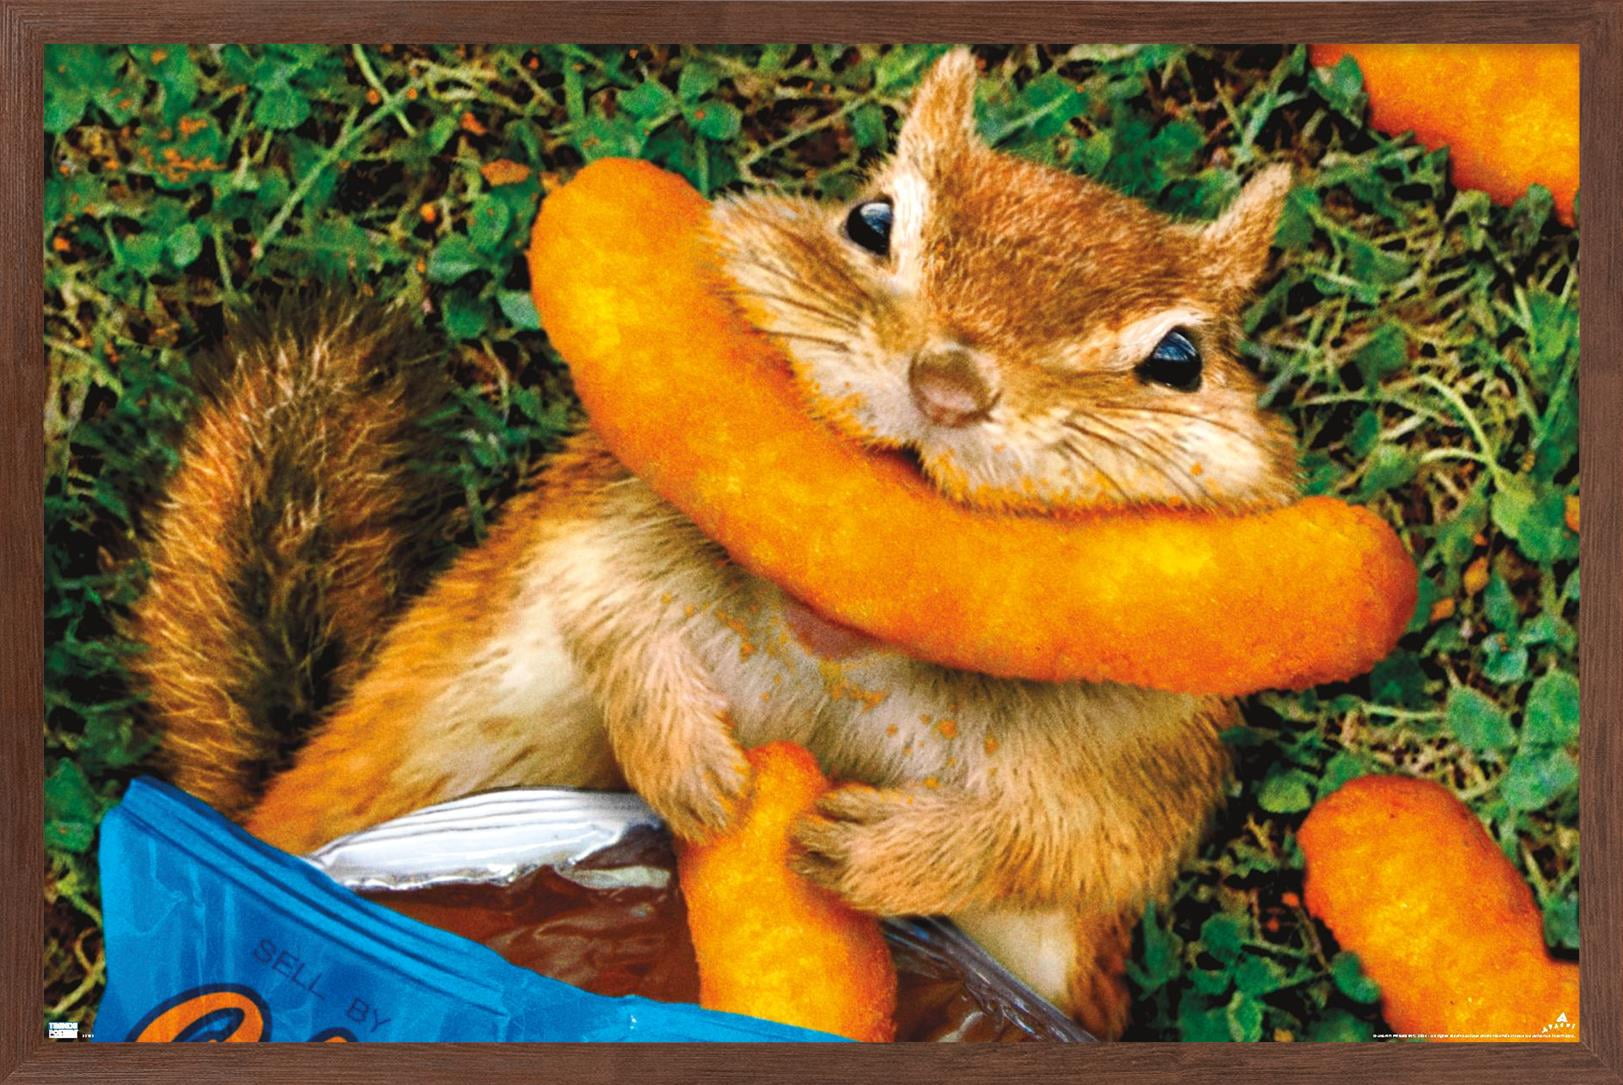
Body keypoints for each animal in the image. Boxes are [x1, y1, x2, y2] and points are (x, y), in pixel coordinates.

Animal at [126, 50, 1298, 1039]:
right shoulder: (585, 526)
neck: (835, 643)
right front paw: (692, 766)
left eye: (1181, 358)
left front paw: (879, 851)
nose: (949, 383)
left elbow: (1076, 845)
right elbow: (599, 616)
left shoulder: (1141, 760)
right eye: (870, 218)